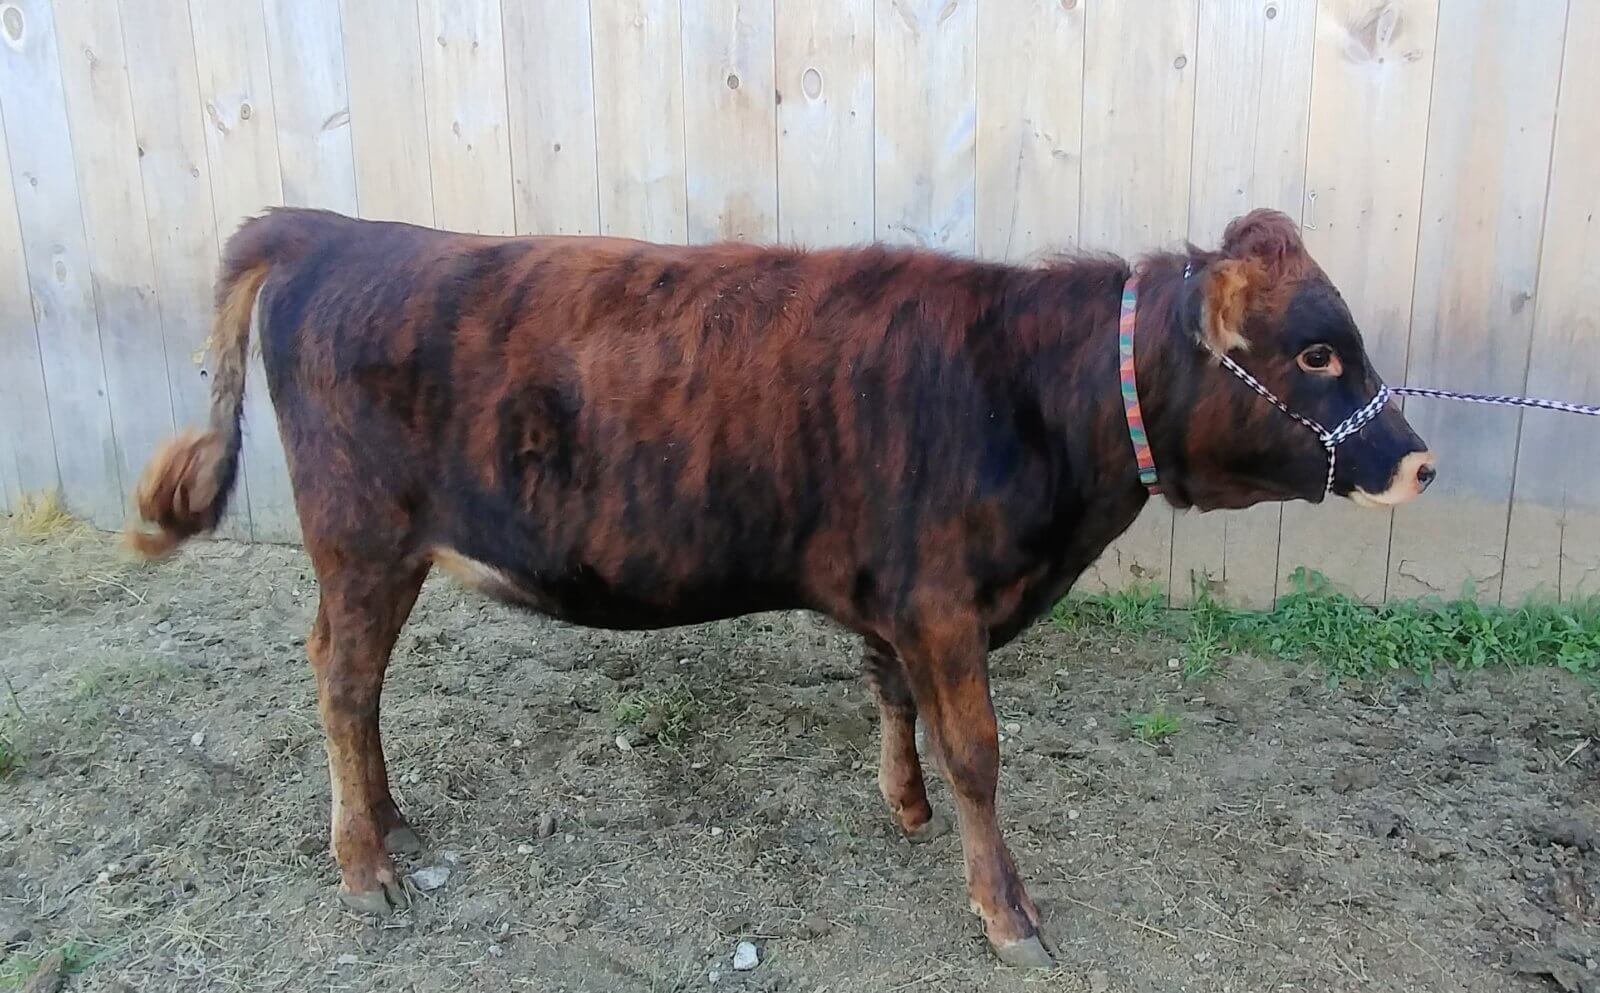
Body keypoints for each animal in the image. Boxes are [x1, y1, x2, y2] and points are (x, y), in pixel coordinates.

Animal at [127, 206, 1435, 968]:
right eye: (1317, 350)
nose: (1419, 461)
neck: (1025, 394)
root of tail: (327, 228)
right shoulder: (945, 599)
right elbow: (978, 751)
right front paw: (1005, 913)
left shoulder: (897, 596)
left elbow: (892, 699)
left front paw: (905, 809)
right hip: (363, 544)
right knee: (343, 684)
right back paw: (366, 864)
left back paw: (390, 819)